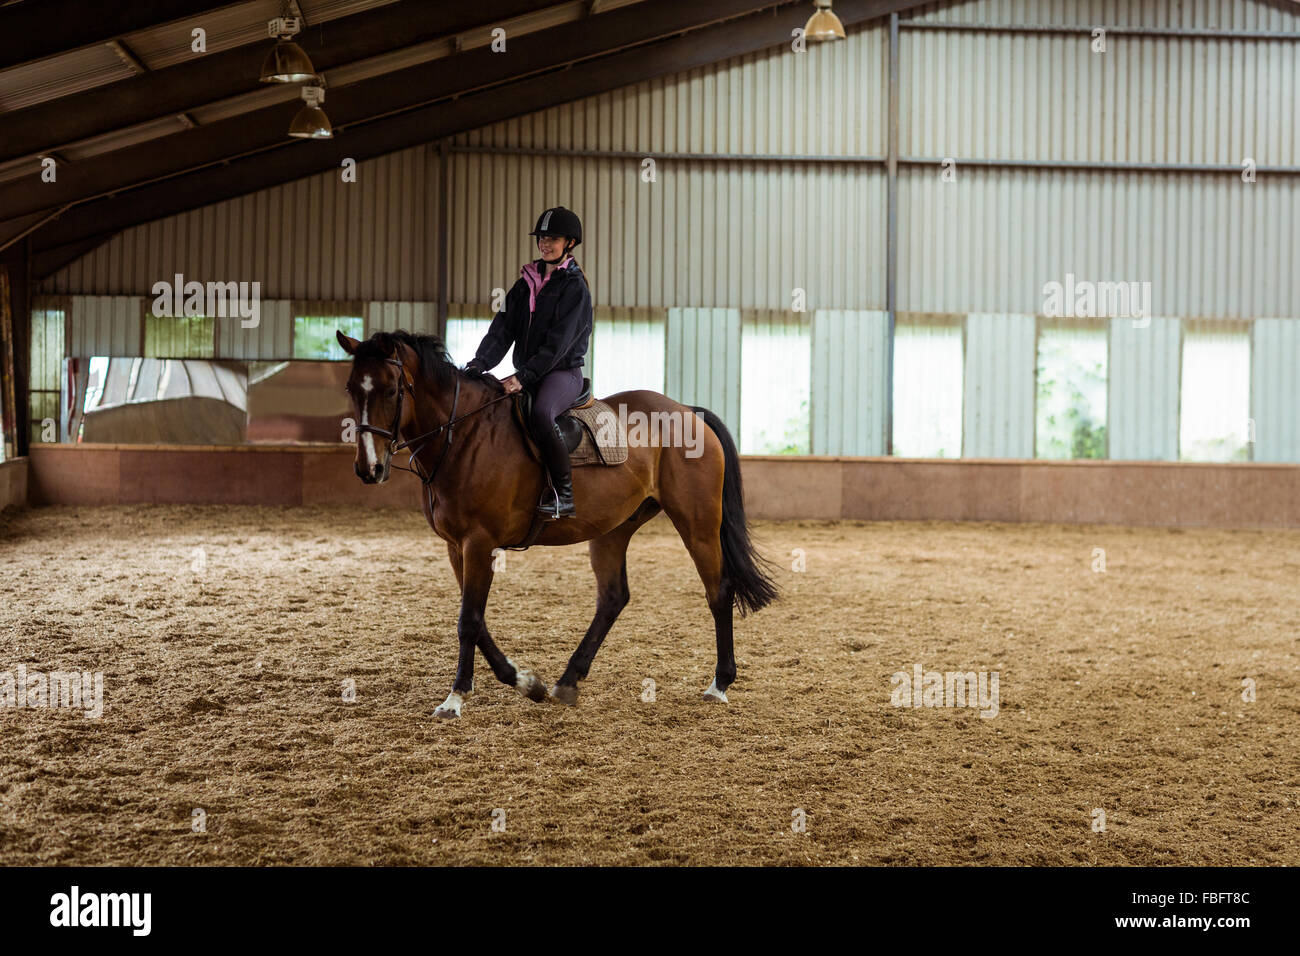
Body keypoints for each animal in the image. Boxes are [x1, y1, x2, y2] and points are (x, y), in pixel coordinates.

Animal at [336, 329, 778, 719]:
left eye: (391, 390)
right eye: (352, 390)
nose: (368, 469)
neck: (463, 436)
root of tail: (689, 412)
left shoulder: (479, 542)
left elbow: (469, 621)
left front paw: (455, 698)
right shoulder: (456, 545)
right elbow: (476, 620)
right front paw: (525, 683)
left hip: (698, 523)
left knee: (718, 592)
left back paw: (719, 684)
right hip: (614, 529)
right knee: (613, 598)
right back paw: (568, 680)